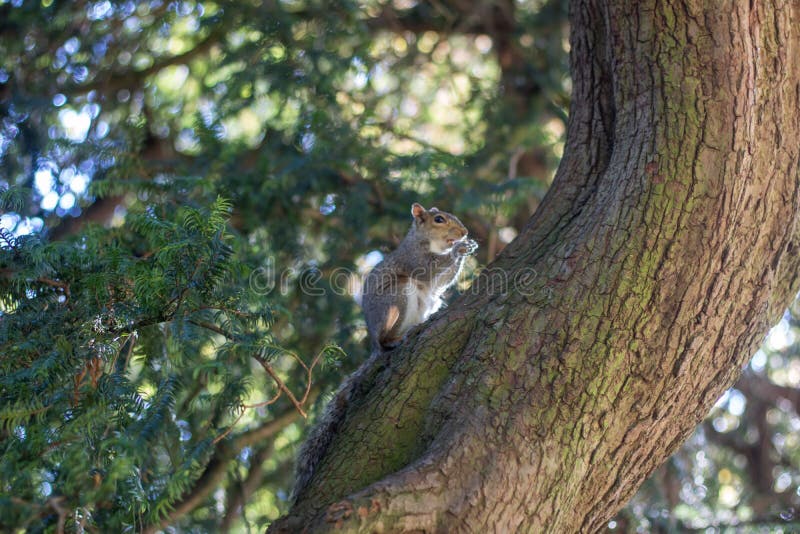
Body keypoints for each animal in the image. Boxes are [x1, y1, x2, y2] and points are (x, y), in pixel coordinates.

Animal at [290, 203, 477, 503]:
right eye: (439, 219)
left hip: (429, 302)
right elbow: (431, 271)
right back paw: (397, 339)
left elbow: (441, 282)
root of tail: (375, 347)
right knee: (388, 336)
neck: (428, 242)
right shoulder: (415, 260)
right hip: (398, 296)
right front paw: (459, 250)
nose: (464, 232)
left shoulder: (435, 282)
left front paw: (468, 246)